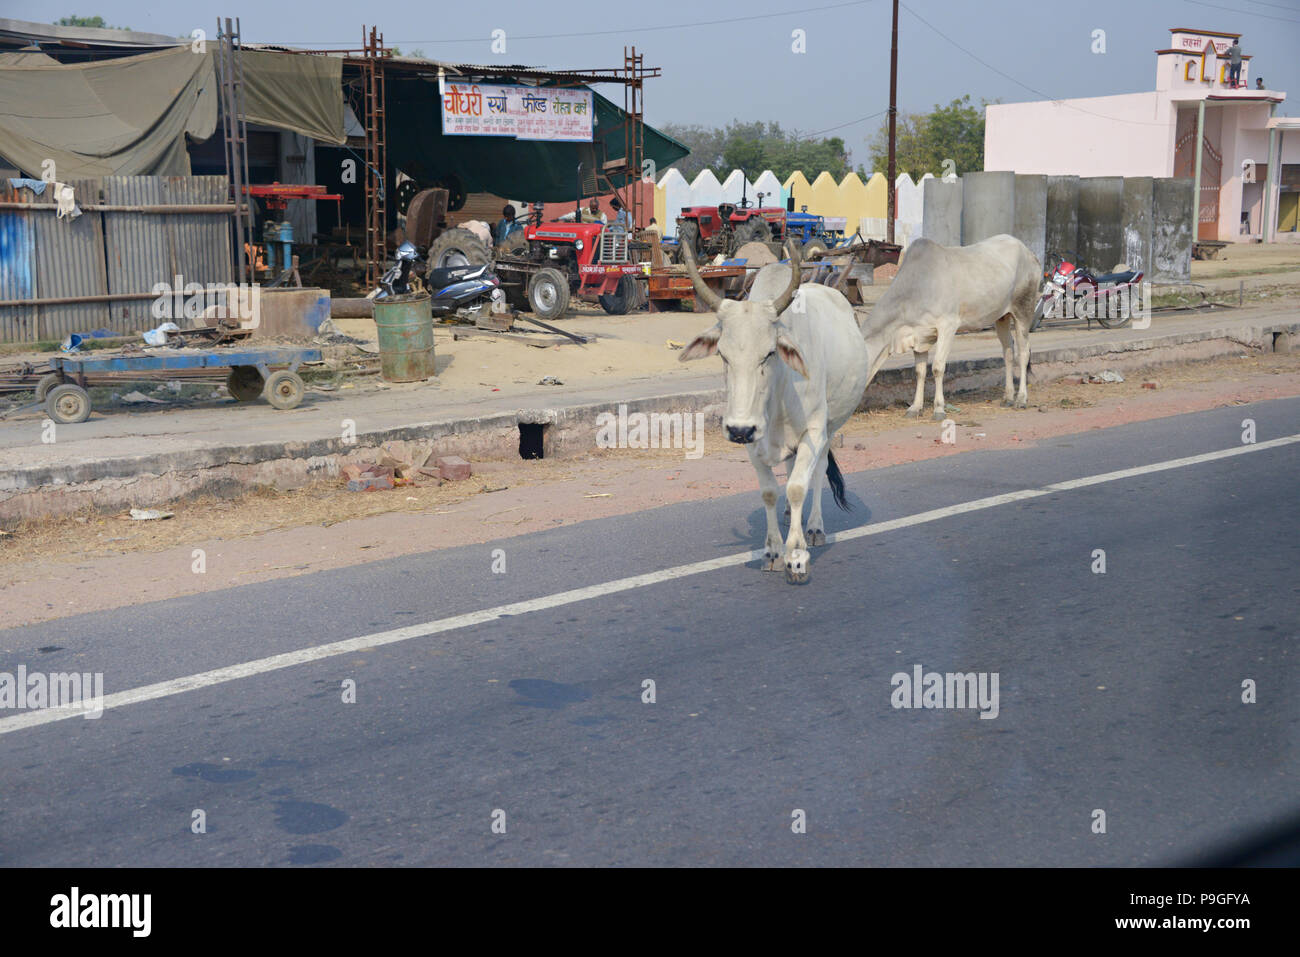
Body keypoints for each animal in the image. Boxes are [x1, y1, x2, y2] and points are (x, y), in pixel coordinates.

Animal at [678, 241, 869, 583]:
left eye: (769, 353)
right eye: (723, 355)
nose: (739, 429)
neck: (778, 391)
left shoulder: (814, 430)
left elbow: (796, 487)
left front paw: (796, 557)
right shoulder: (754, 439)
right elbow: (770, 491)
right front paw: (772, 552)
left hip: (832, 425)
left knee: (817, 471)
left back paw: (814, 527)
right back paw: (790, 516)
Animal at [861, 234, 1040, 420]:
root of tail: (1028, 252)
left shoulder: (948, 325)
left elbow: (937, 368)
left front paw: (939, 409)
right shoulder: (919, 335)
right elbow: (920, 371)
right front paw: (915, 407)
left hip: (1023, 310)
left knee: (1023, 353)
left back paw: (1021, 399)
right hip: (1001, 317)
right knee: (1008, 352)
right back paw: (1008, 397)